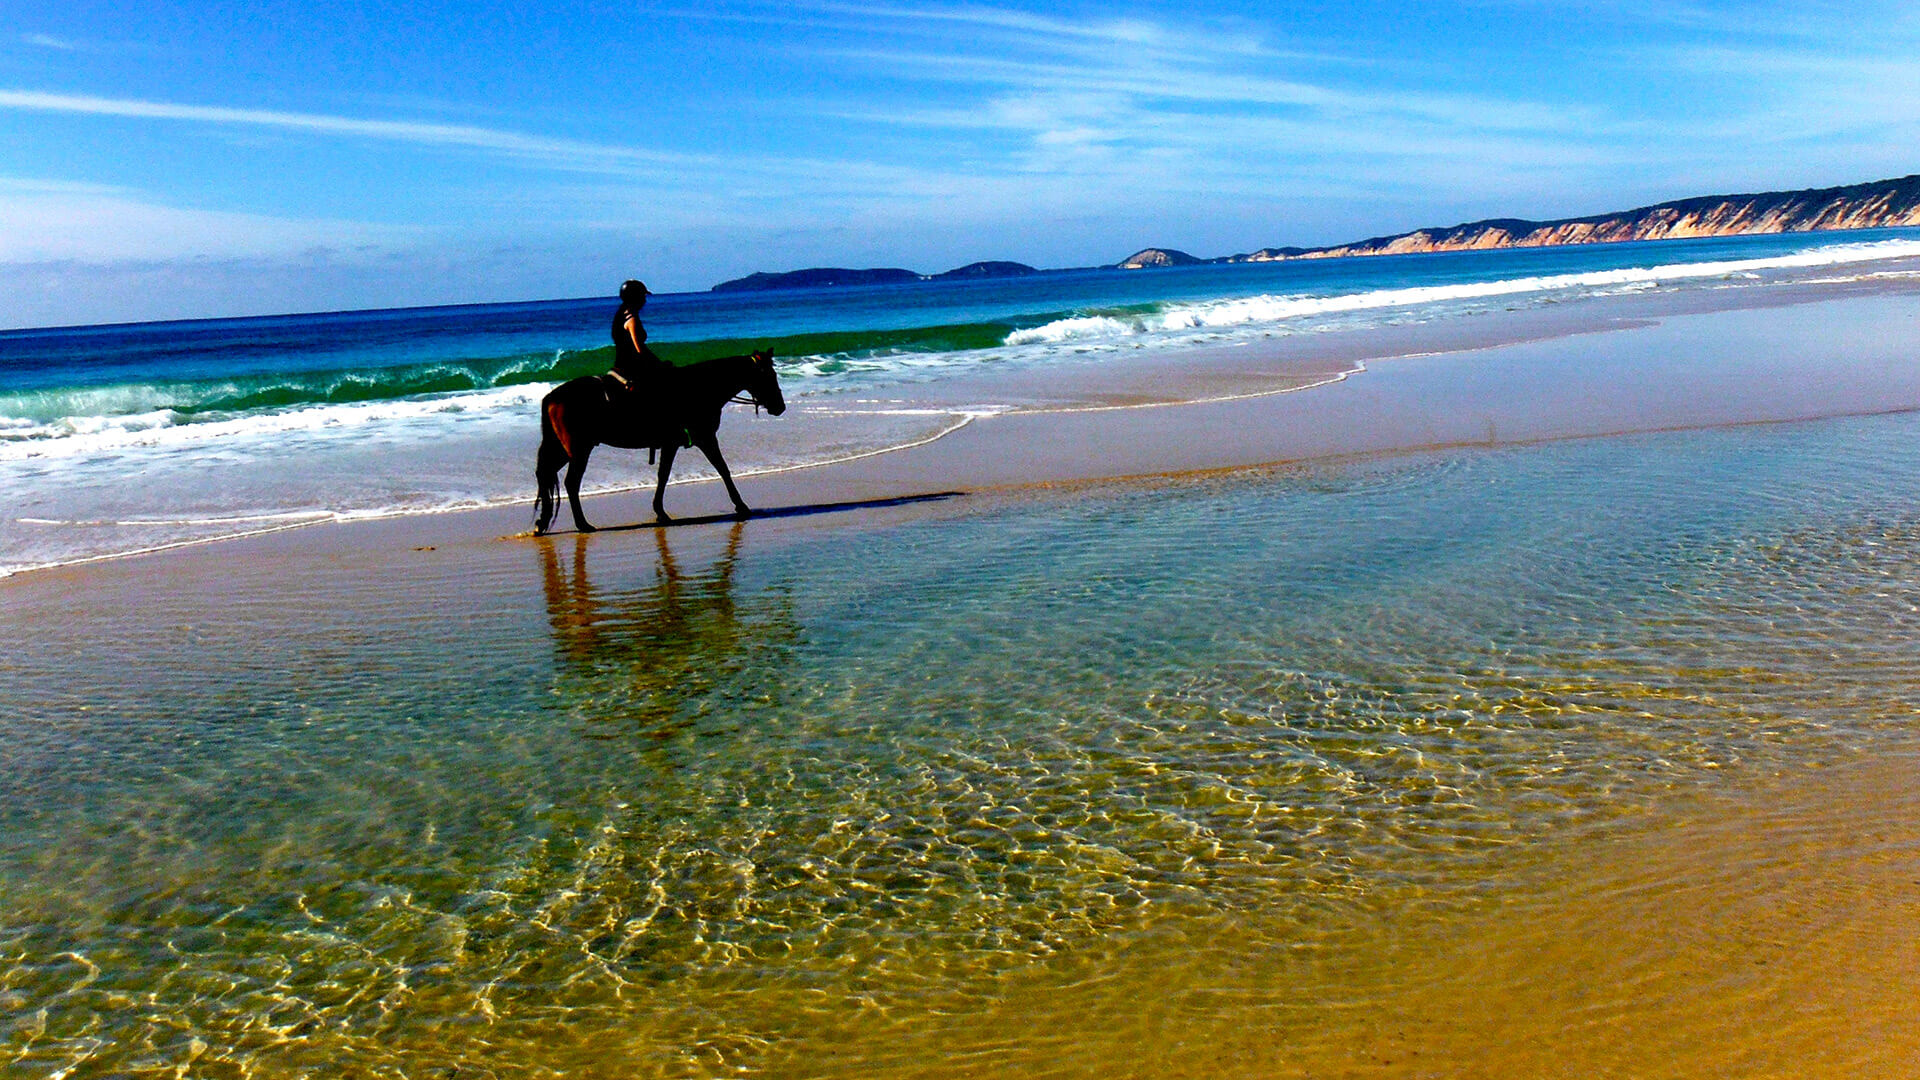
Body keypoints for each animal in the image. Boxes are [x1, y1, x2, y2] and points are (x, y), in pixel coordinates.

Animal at [534, 350, 785, 534]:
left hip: (564, 450)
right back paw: (582, 524)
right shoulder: (705, 438)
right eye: (769, 376)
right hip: (579, 450)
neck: (698, 388)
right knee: (570, 482)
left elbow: (663, 475)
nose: (780, 407)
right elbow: (722, 469)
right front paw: (741, 506)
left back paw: (543, 522)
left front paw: (660, 512)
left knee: (546, 475)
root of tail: (553, 396)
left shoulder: (671, 444)